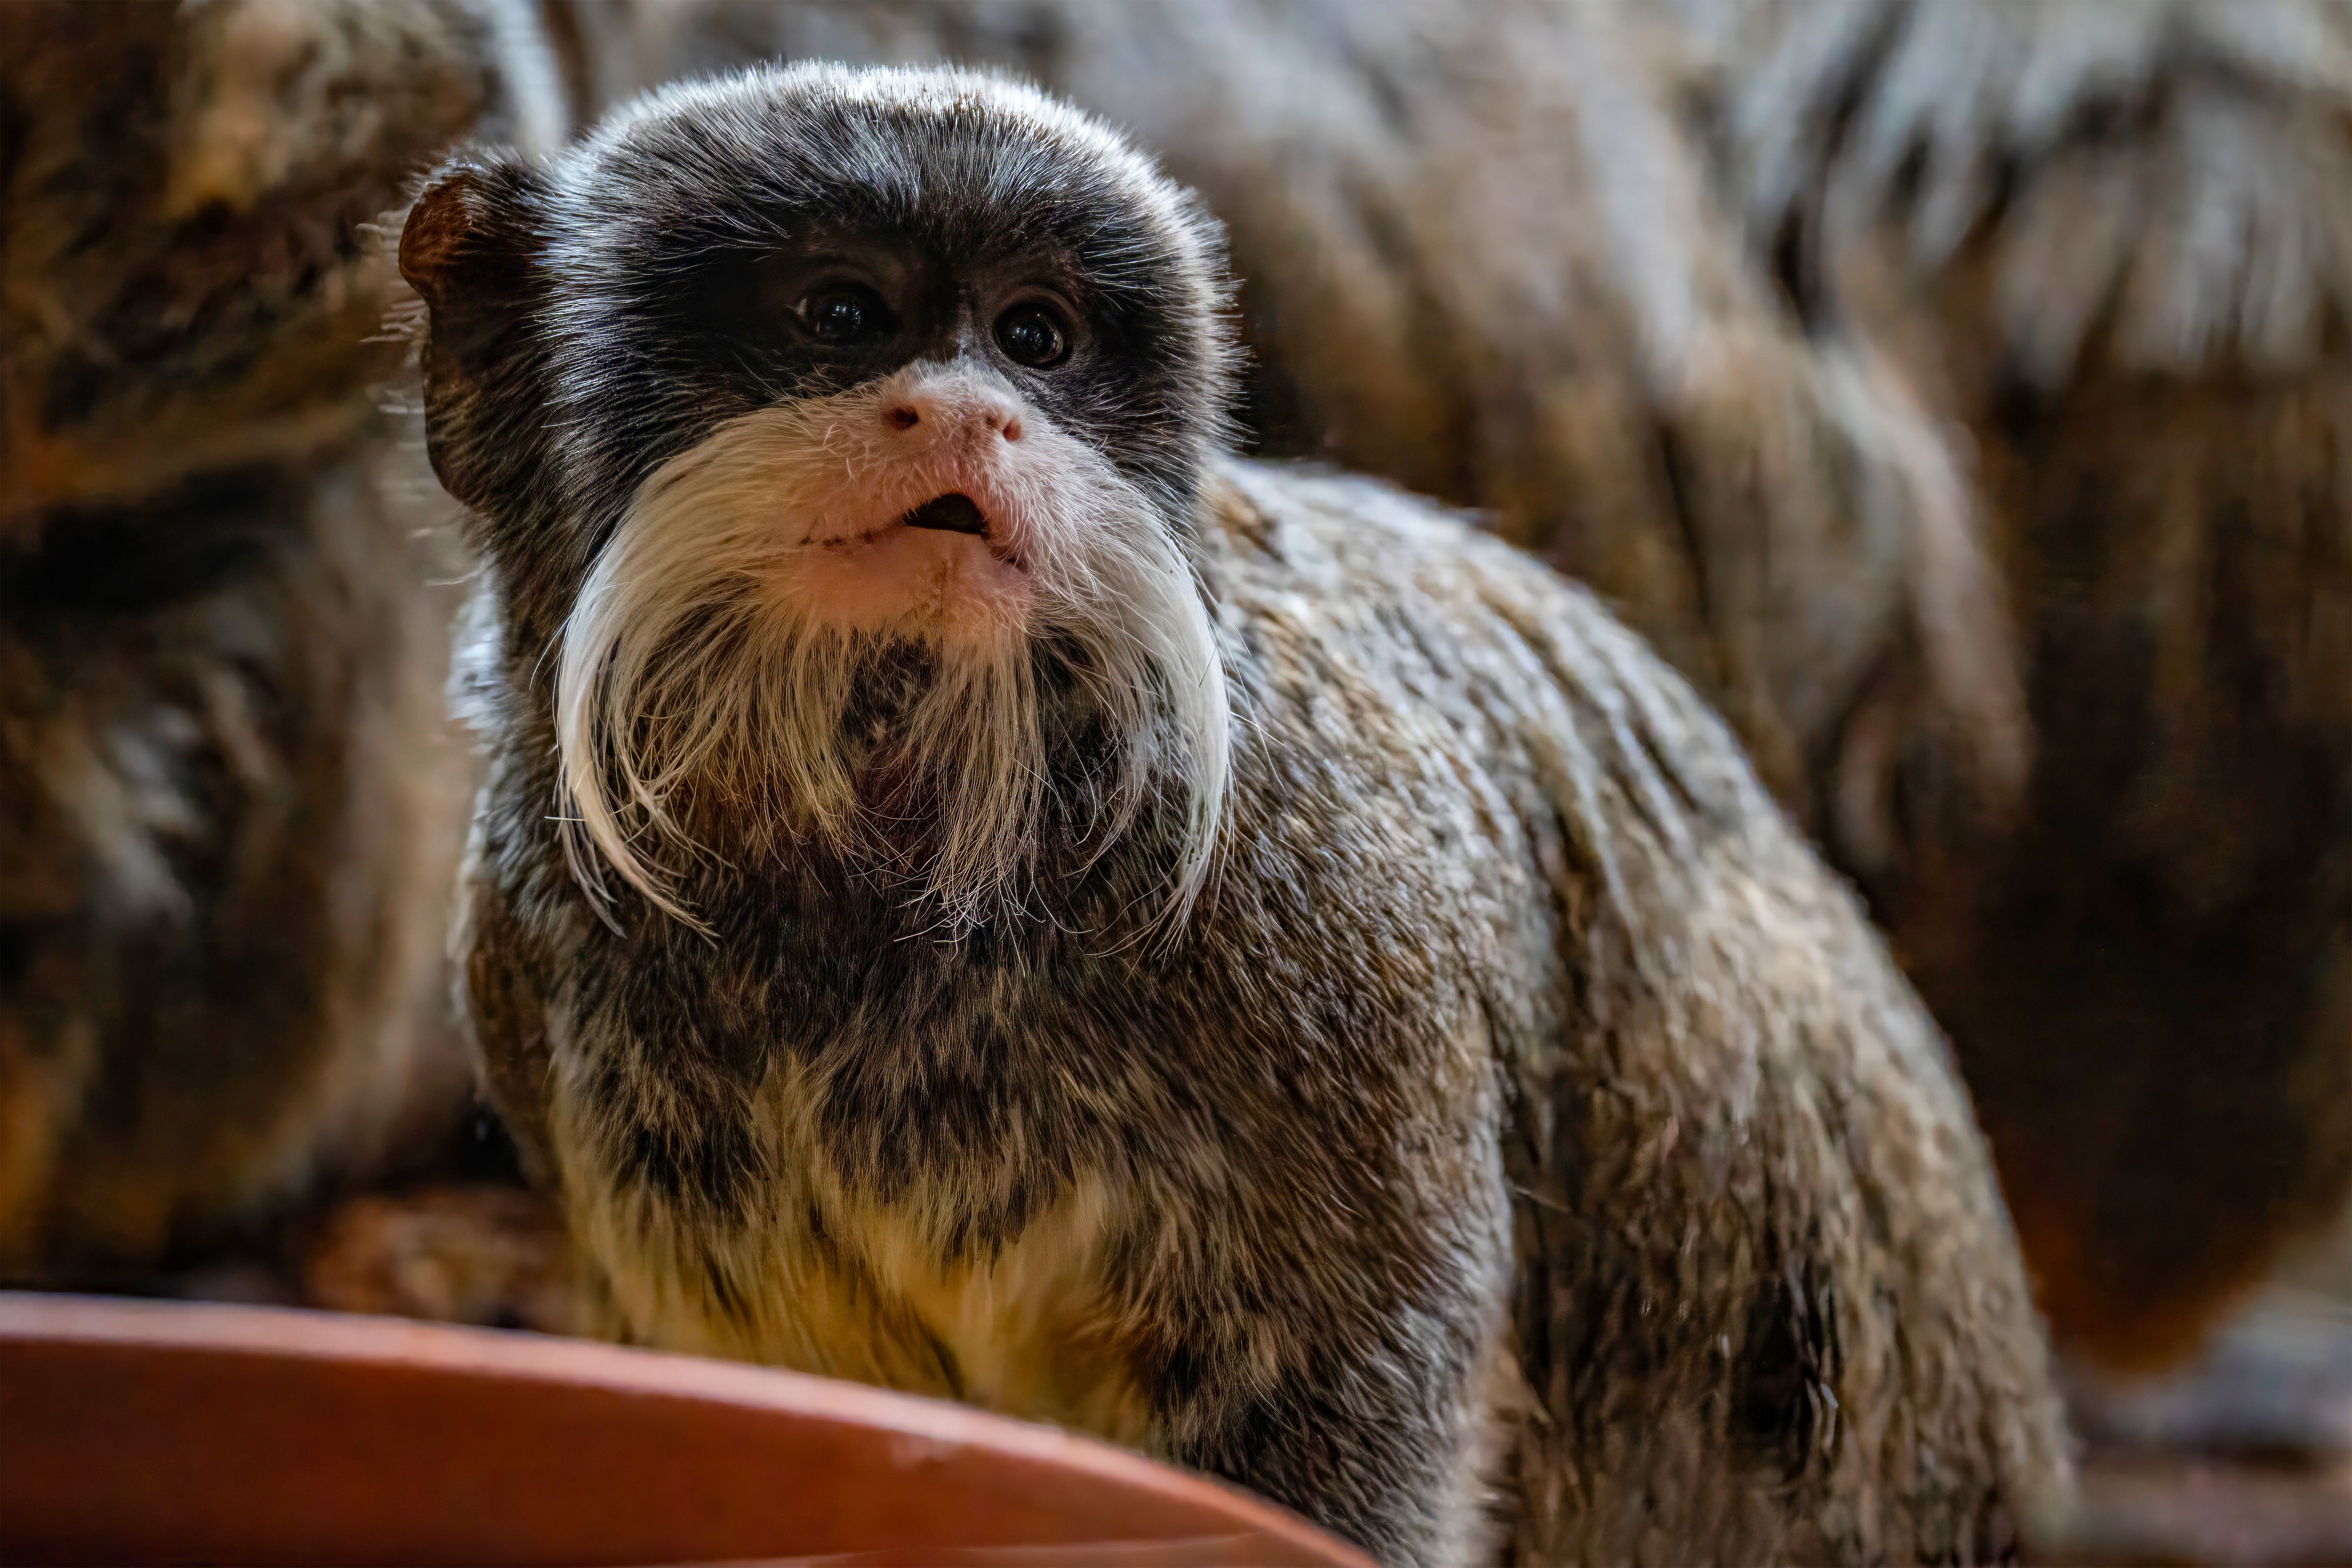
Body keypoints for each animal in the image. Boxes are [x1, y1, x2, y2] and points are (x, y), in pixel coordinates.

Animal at [402, 62, 2068, 1565]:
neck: (885, 829)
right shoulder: (530, 956)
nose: (971, 415)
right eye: (843, 317)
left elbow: (1372, 1359)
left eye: (1035, 338)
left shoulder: (1324, 904)